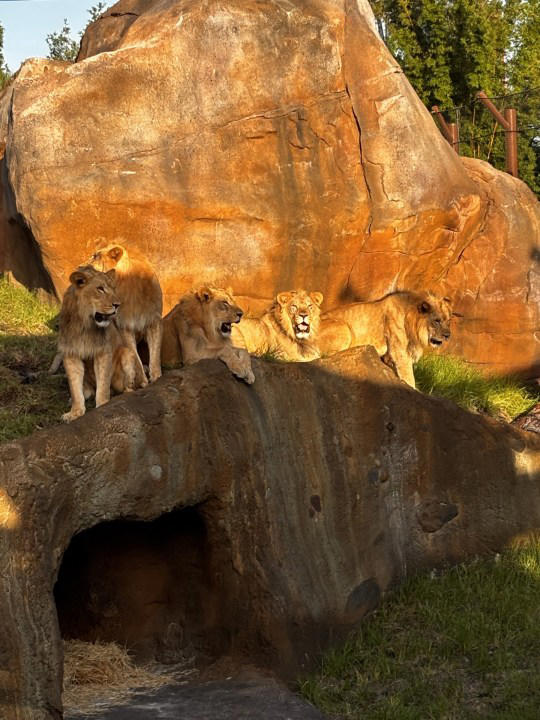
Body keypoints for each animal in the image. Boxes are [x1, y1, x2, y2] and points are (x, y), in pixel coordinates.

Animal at [57, 266, 140, 423]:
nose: (117, 305)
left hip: (127, 354)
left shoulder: (103, 353)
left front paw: (102, 405)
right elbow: (75, 387)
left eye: (113, 289)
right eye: (100, 289)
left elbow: (103, 383)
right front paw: (75, 412)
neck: (84, 325)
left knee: (127, 386)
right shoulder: (71, 355)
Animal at [318, 291, 455, 388]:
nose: (448, 335)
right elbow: (409, 376)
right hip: (344, 327)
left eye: (448, 321)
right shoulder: (400, 352)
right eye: (437, 321)